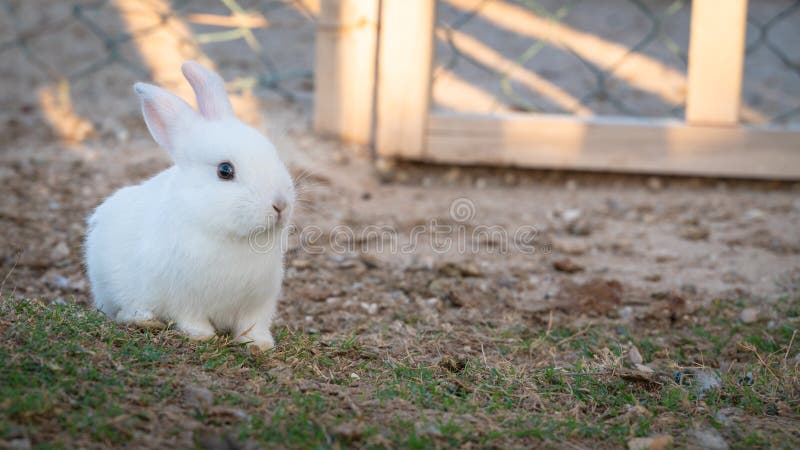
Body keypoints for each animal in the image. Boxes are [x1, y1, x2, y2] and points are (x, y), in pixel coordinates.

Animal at [84, 61, 294, 350]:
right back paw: (145, 320)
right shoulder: (184, 299)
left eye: (273, 154)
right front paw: (201, 335)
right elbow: (191, 319)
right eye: (225, 170)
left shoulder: (258, 303)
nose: (280, 205)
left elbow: (252, 325)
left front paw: (258, 345)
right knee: (121, 311)